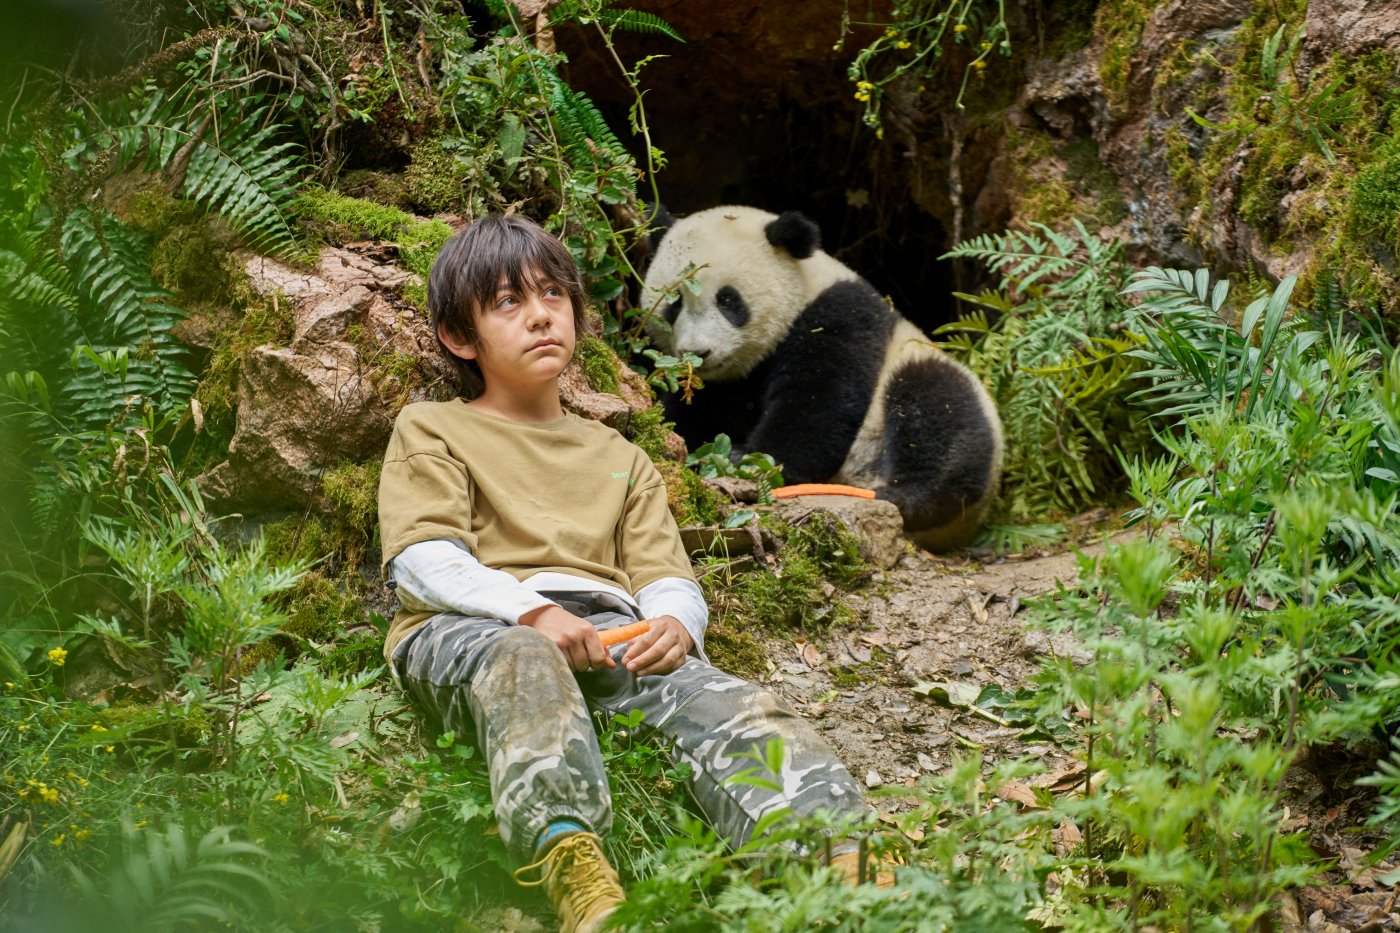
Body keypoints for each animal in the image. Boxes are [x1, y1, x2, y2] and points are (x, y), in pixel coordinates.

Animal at [641, 204, 1003, 551]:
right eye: (673, 303)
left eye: (727, 299)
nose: (697, 353)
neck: (803, 283)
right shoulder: (718, 385)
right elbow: (692, 410)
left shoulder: (838, 316)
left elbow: (819, 405)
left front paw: (748, 458)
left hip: (921, 374)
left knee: (940, 416)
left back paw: (902, 495)